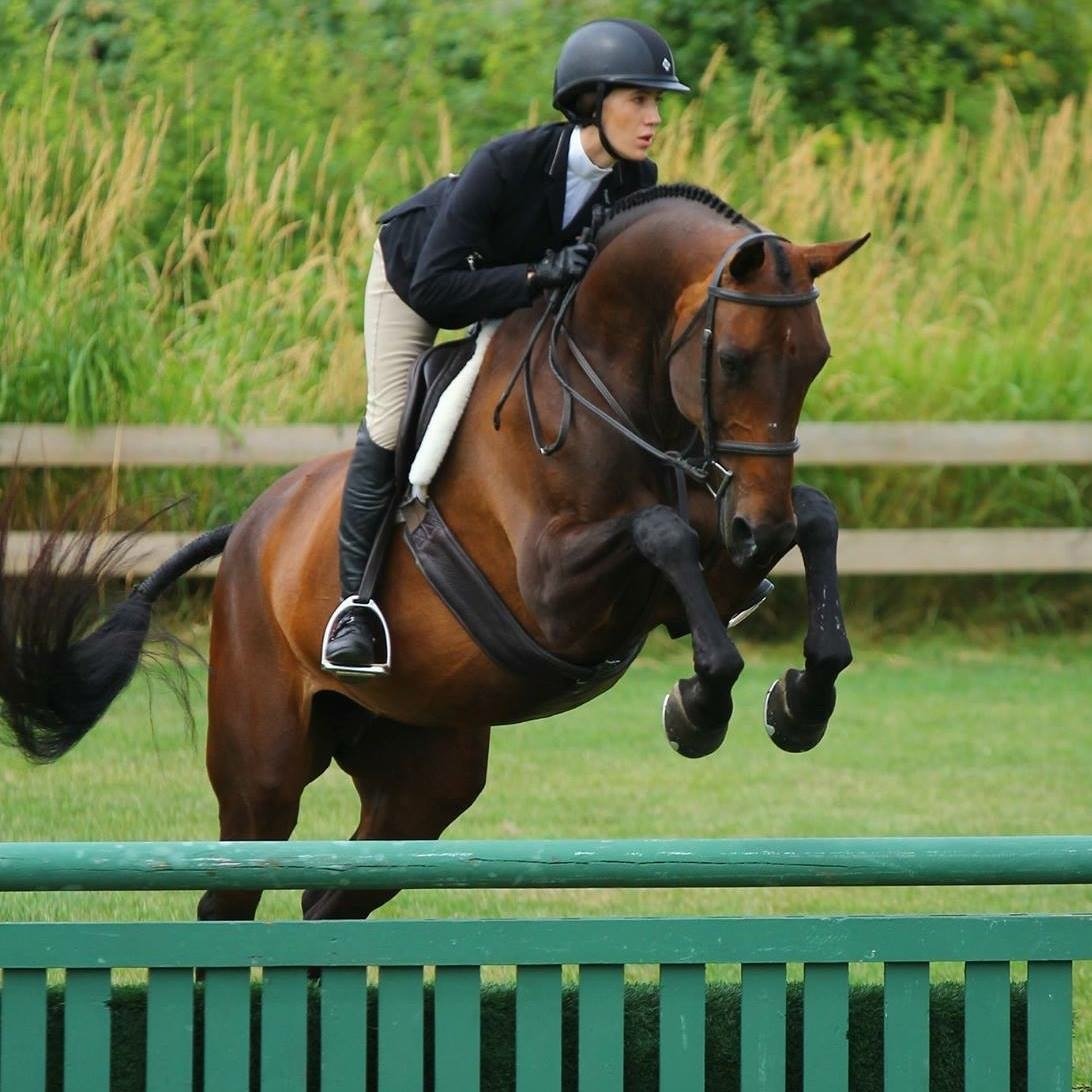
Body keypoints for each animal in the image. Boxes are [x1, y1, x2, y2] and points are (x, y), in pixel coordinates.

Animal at [0, 184, 868, 923]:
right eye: (733, 361)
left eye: (817, 359)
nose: (758, 527)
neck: (609, 393)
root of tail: (248, 531)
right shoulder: (556, 593)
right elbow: (663, 533)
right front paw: (702, 705)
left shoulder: (712, 549)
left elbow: (813, 519)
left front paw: (799, 700)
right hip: (264, 768)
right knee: (232, 891)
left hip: (421, 772)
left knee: (331, 894)